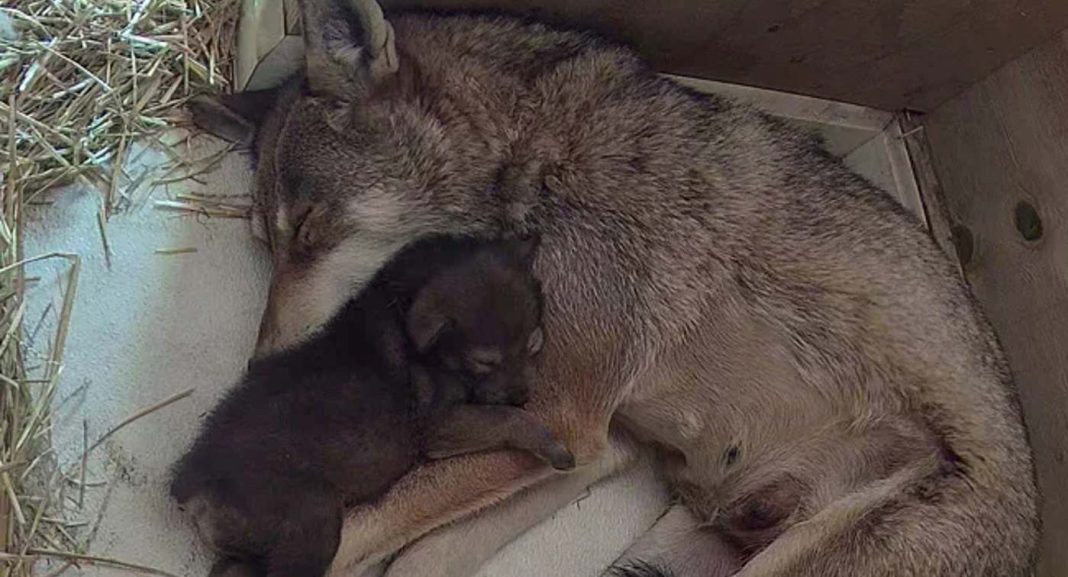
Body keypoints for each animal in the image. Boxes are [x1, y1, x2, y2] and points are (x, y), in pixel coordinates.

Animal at [188, 0, 1039, 575]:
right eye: (266, 244)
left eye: (309, 232)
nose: (258, 367)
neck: (536, 155)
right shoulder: (590, 446)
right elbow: (414, 549)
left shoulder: (564, 414)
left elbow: (361, 529)